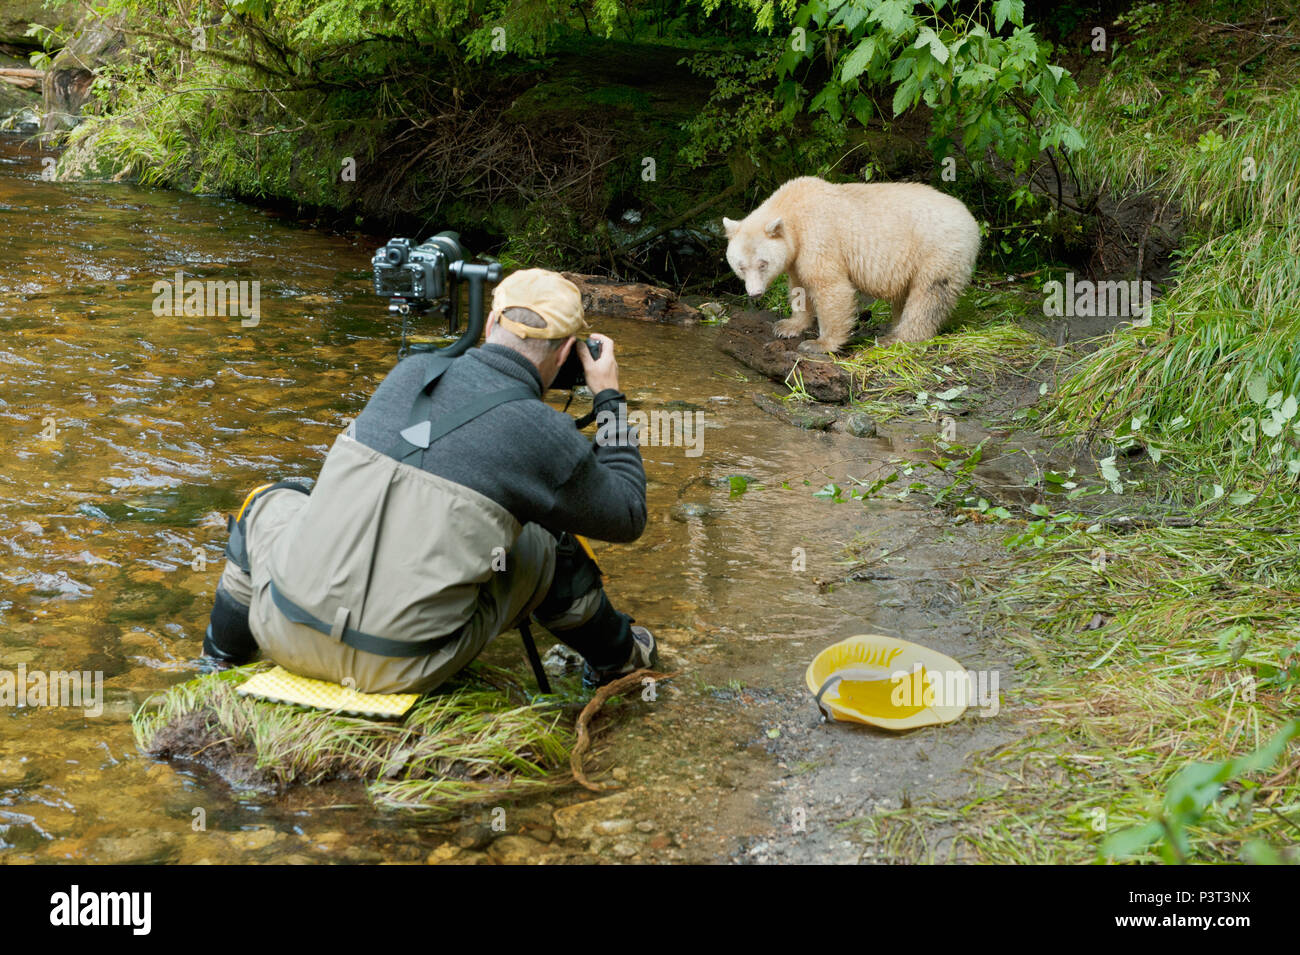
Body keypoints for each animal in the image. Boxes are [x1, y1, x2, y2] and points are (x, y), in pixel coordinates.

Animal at [723, 176, 981, 354]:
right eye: (740, 267)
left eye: (762, 264)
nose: (755, 294)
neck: (792, 207)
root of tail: (971, 220)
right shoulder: (797, 254)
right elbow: (800, 286)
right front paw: (787, 326)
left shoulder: (818, 235)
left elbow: (829, 286)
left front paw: (818, 343)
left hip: (937, 249)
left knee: (929, 294)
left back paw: (897, 338)